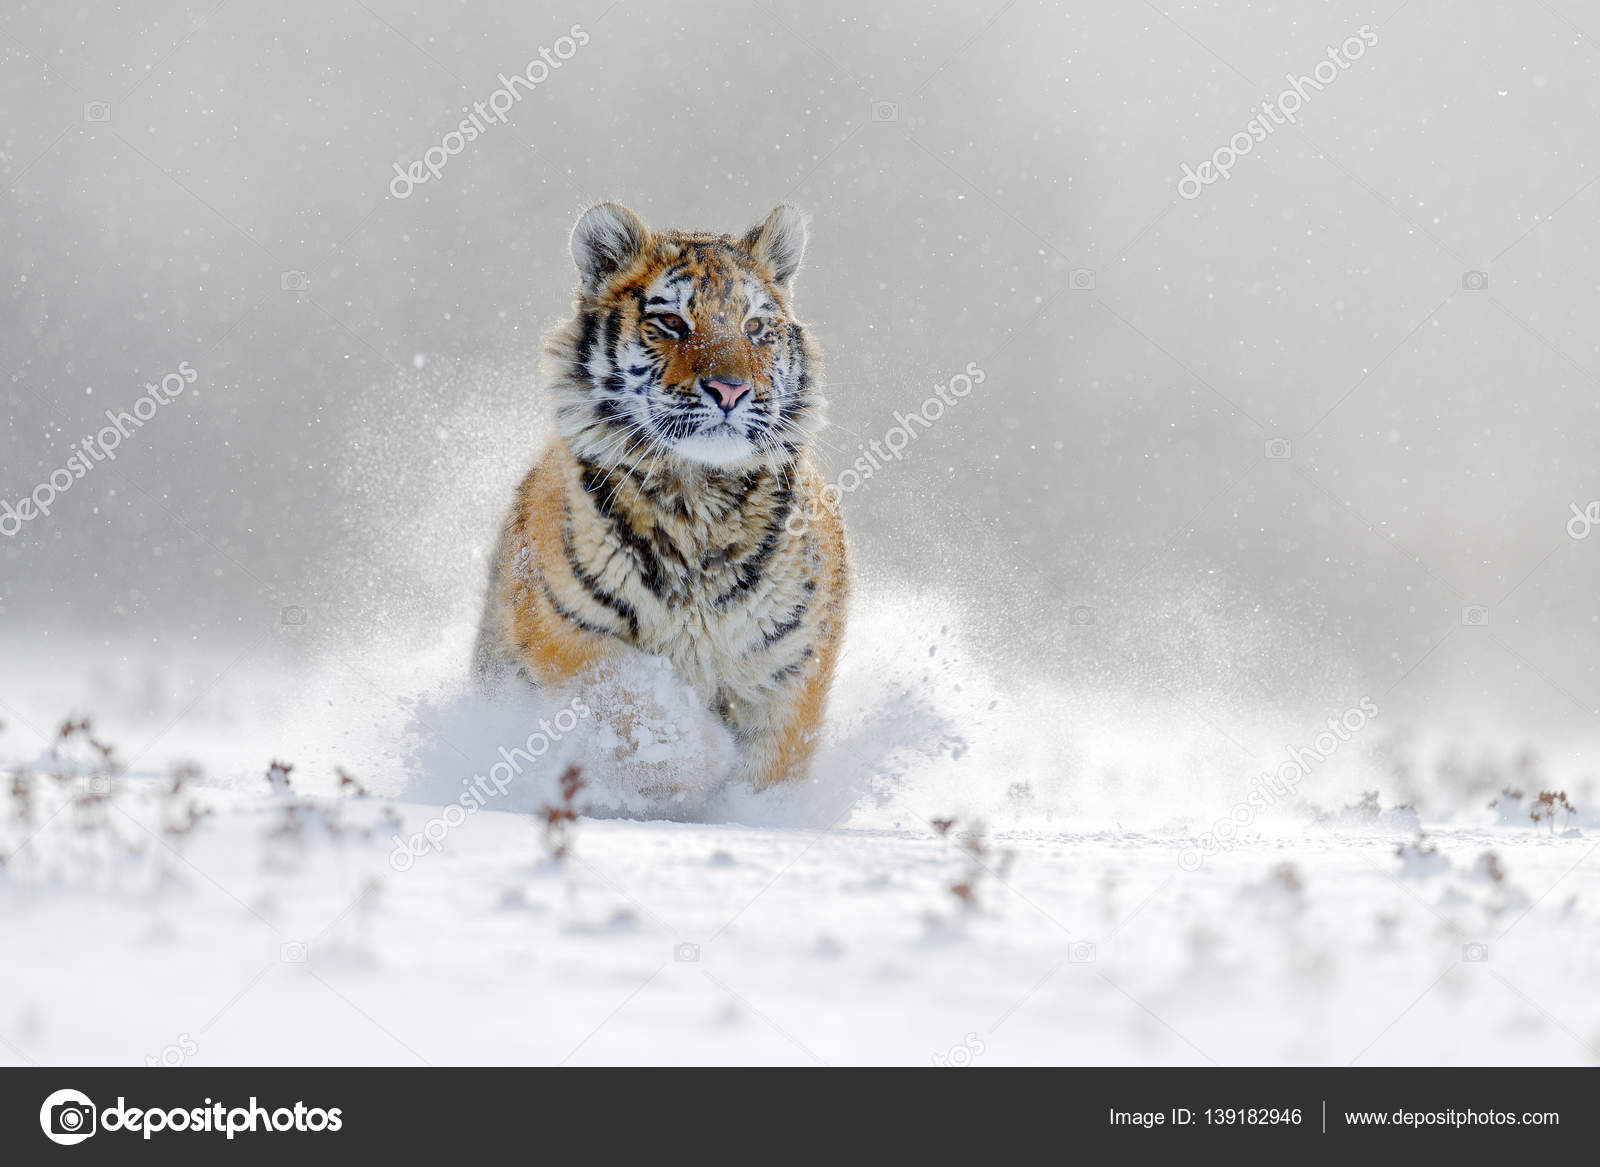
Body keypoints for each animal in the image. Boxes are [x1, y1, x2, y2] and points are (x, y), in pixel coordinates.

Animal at [475, 202, 849, 792]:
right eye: (672, 322)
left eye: (754, 327)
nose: (730, 389)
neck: (698, 498)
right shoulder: (564, 628)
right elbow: (636, 704)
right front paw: (705, 760)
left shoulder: (793, 656)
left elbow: (775, 759)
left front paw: (752, 806)